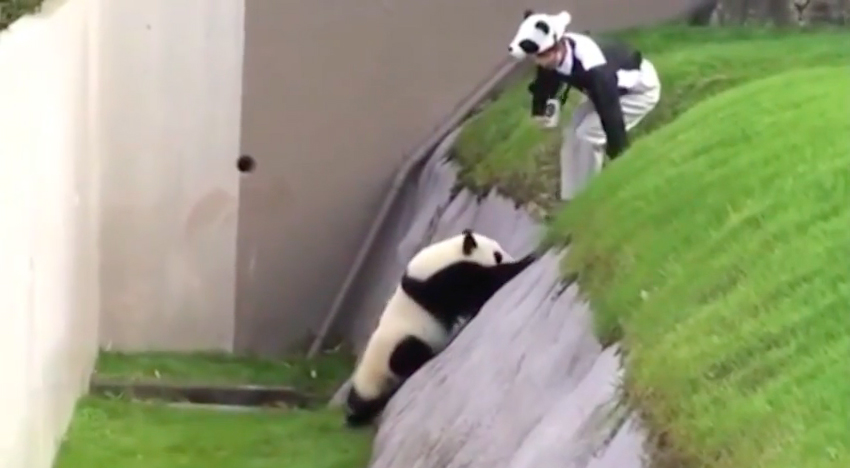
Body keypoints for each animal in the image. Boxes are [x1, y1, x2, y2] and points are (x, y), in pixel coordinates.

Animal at [344, 229, 537, 427]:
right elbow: (482, 286)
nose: (510, 257)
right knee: (408, 354)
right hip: (397, 345)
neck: (445, 255)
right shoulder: (443, 283)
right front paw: (527, 259)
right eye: (497, 255)